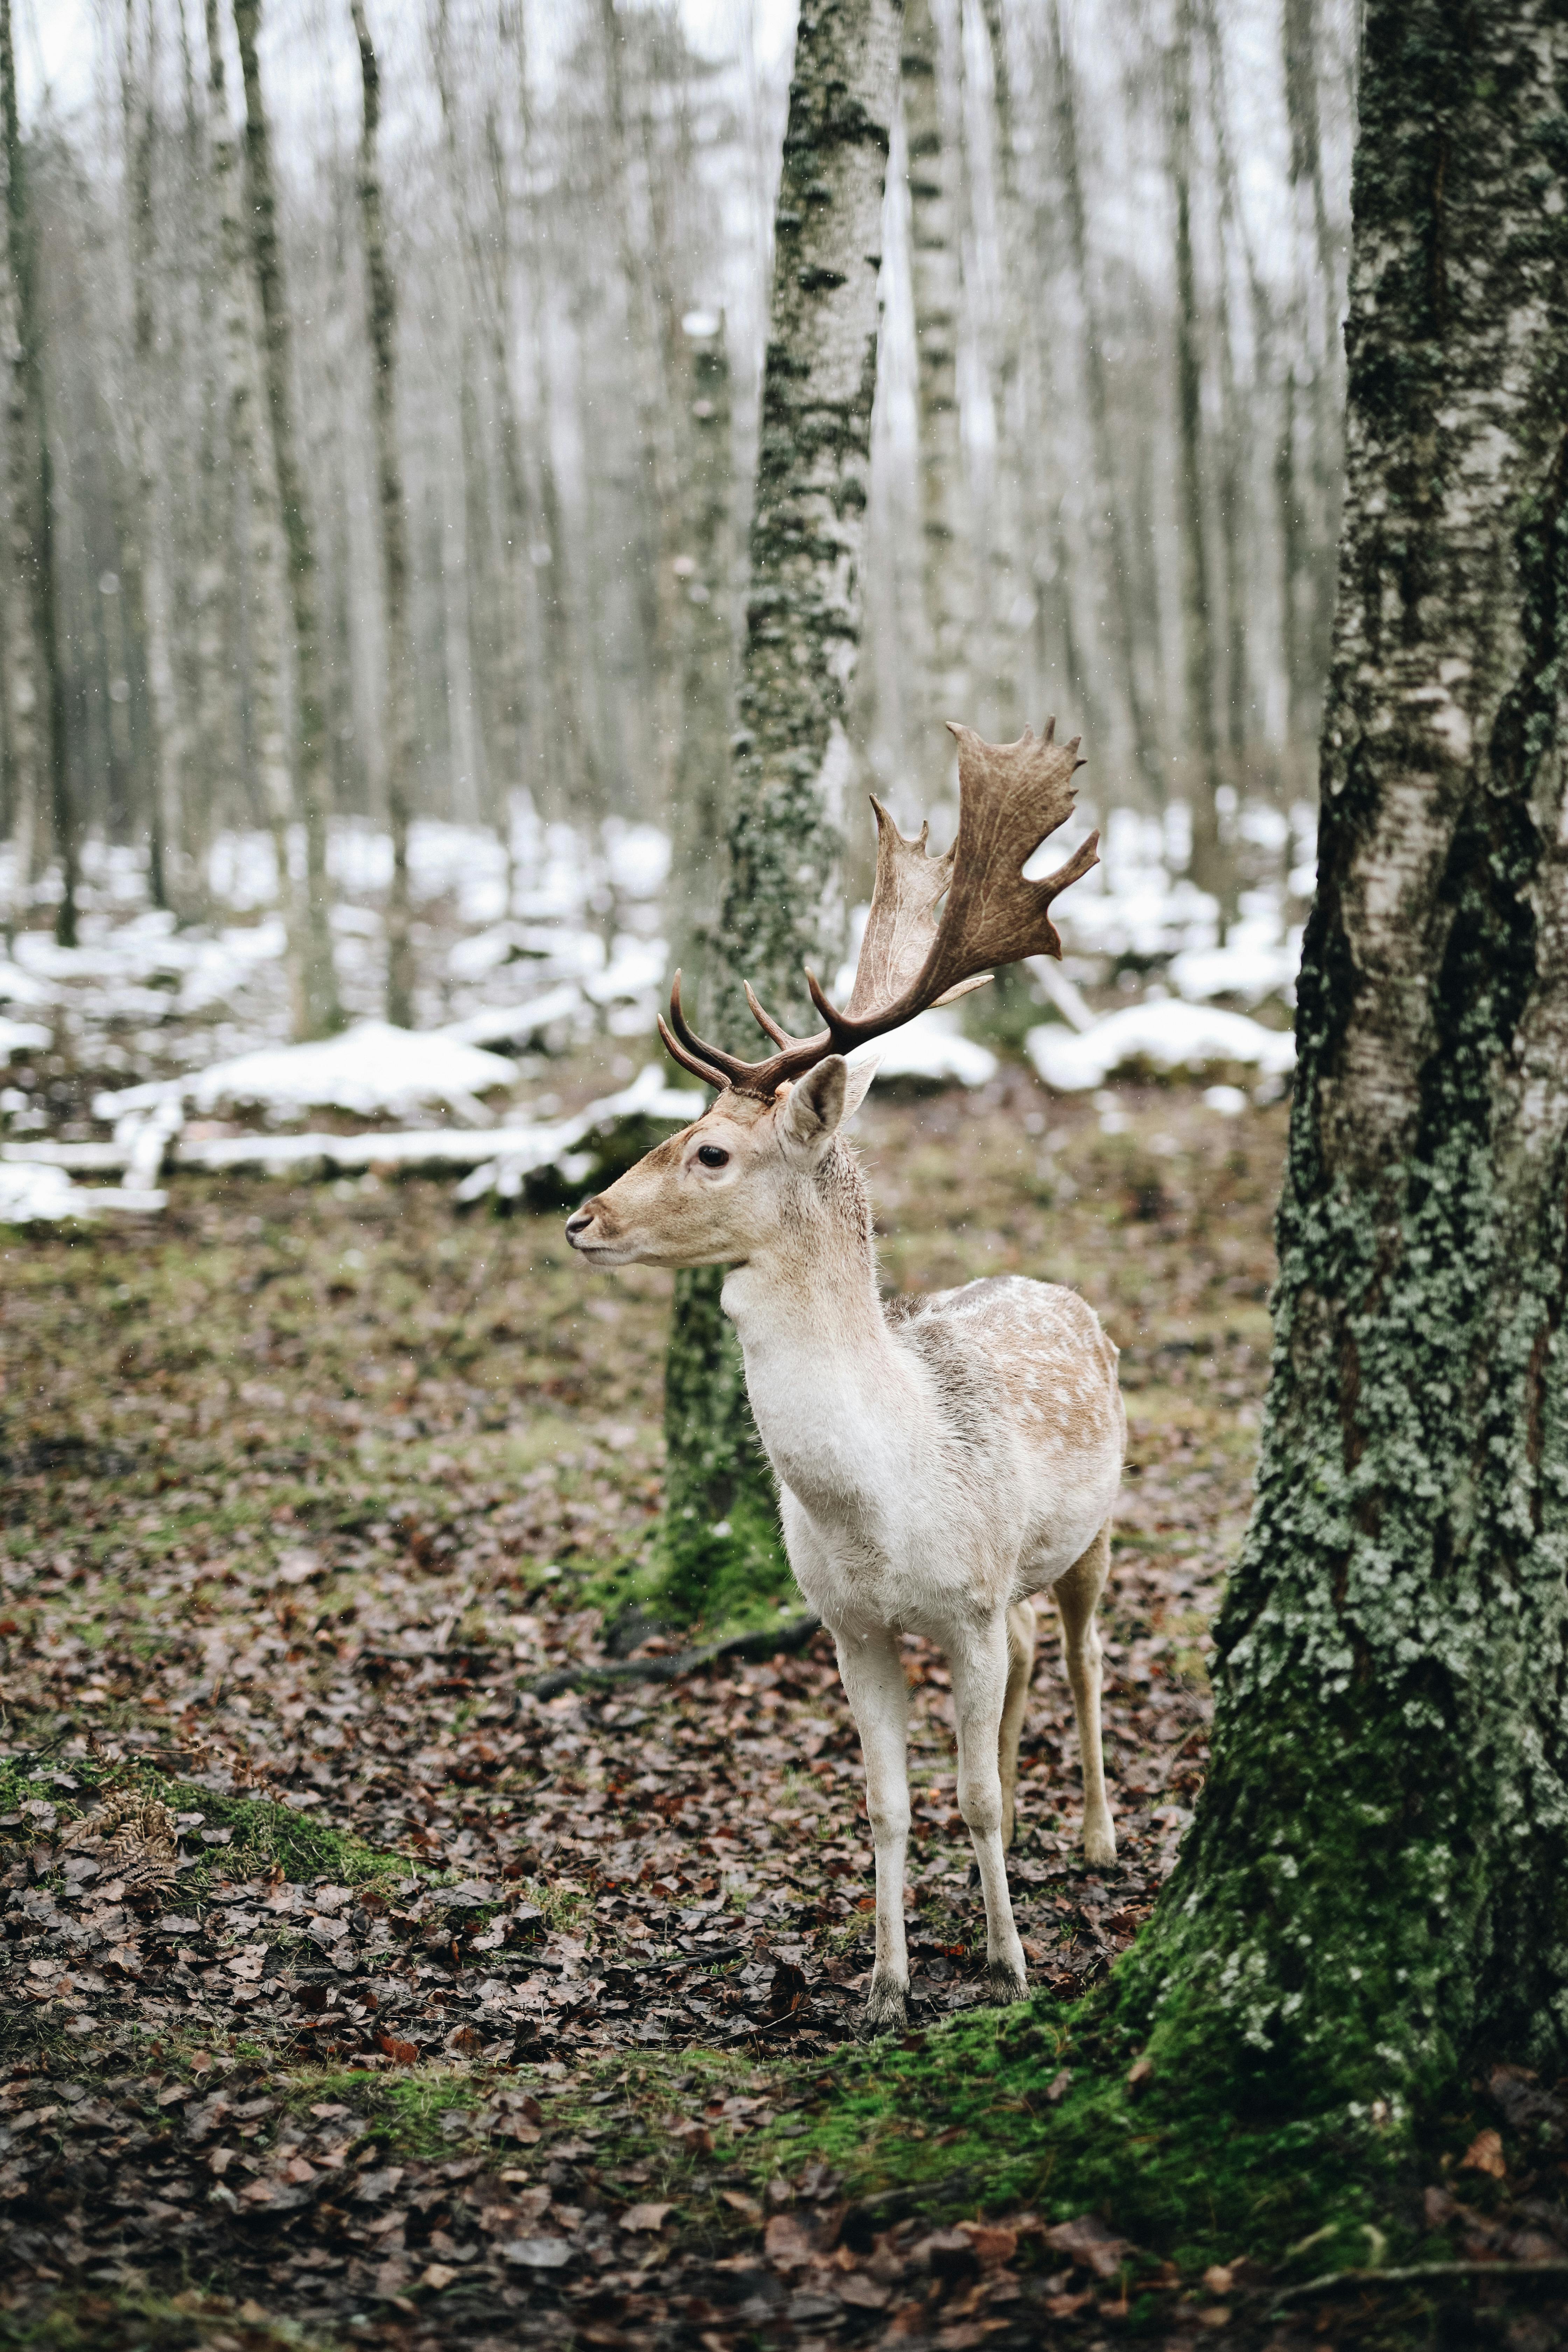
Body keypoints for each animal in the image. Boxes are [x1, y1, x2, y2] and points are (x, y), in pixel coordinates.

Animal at [565, 724, 1124, 2031]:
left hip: (1096, 1528)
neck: (877, 1501)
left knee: (1081, 1652)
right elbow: (888, 1802)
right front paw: (883, 1985)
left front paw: (1009, 1972)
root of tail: (1059, 1287)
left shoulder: (960, 1604)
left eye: (713, 1152)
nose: (580, 1215)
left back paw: (1094, 1835)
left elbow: (968, 1795)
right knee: (1034, 1652)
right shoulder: (849, 1623)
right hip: (1012, 1576)